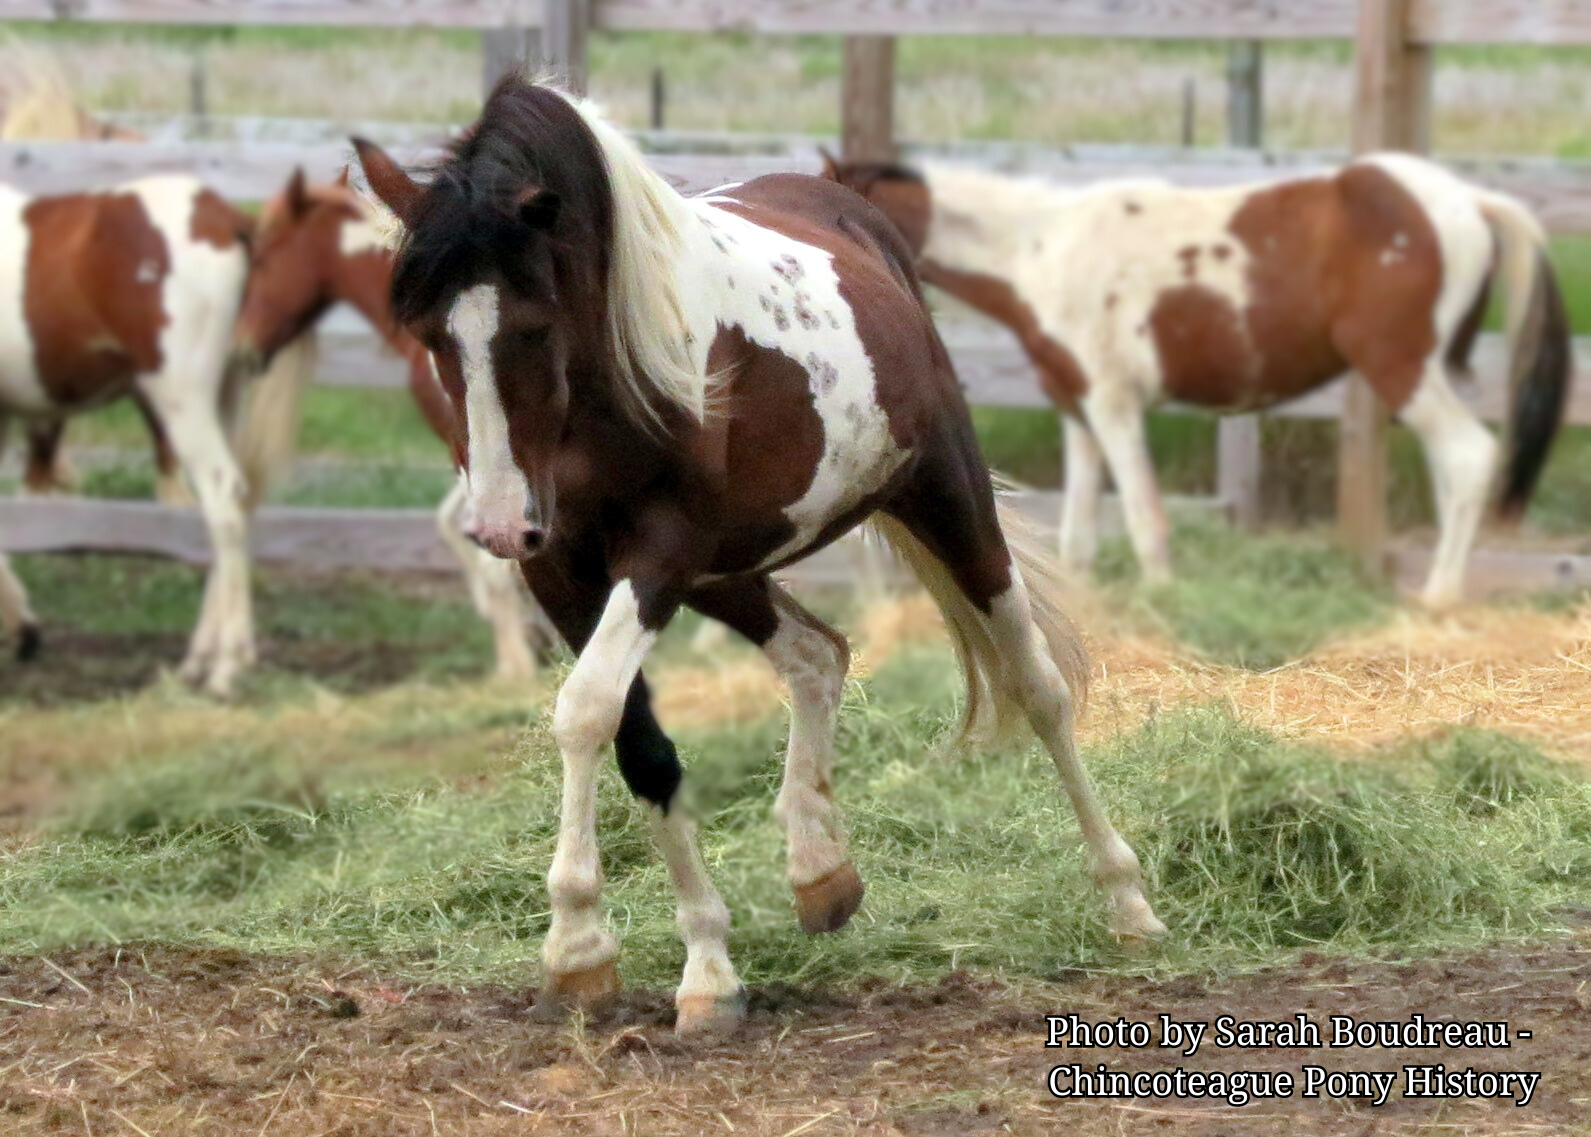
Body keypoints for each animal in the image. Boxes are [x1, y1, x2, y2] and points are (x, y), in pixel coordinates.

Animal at [0, 175, 316, 692]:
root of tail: (229, 221)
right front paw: (21, 627)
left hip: (182, 399)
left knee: (222, 497)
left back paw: (228, 664)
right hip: (223, 397)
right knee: (238, 501)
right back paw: (202, 657)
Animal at [353, 76, 1164, 1037]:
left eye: (533, 327)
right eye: (429, 332)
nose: (496, 524)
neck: (612, 383)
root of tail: (852, 210)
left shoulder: (656, 555)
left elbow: (585, 709)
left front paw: (578, 940)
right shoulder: (562, 571)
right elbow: (637, 742)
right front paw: (694, 960)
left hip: (943, 499)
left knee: (1036, 685)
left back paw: (1127, 901)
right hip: (731, 569)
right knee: (819, 653)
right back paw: (820, 871)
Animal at [821, 154, 1572, 610]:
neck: (1042, 251)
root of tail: (1470, 201)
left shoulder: (1114, 405)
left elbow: (1143, 517)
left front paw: (1161, 604)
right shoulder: (1077, 411)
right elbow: (1079, 534)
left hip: (1400, 367)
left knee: (1469, 456)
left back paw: (1437, 598)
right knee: (1455, 470)